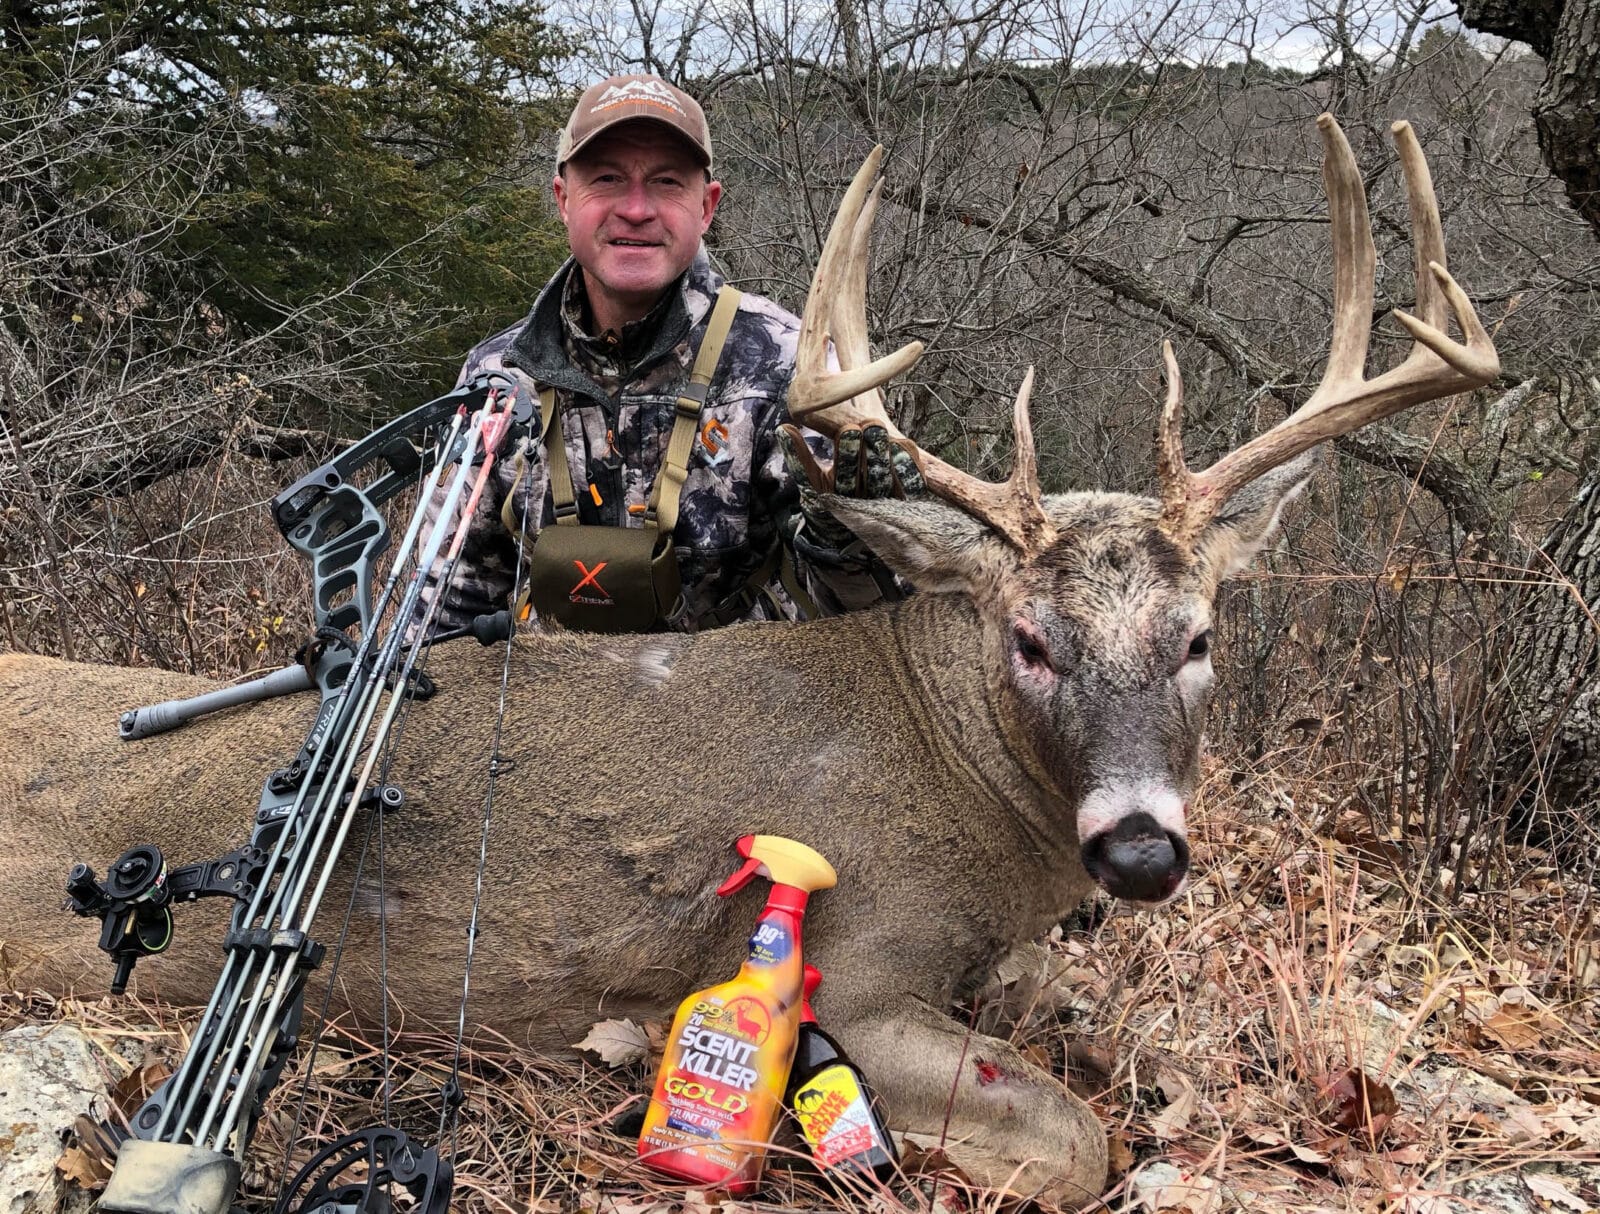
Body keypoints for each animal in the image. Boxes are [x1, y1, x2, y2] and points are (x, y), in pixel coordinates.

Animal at [0, 115, 1496, 1208]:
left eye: (1199, 637)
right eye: (1029, 636)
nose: (1139, 850)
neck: (959, 768)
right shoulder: (866, 960)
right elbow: (1081, 1137)